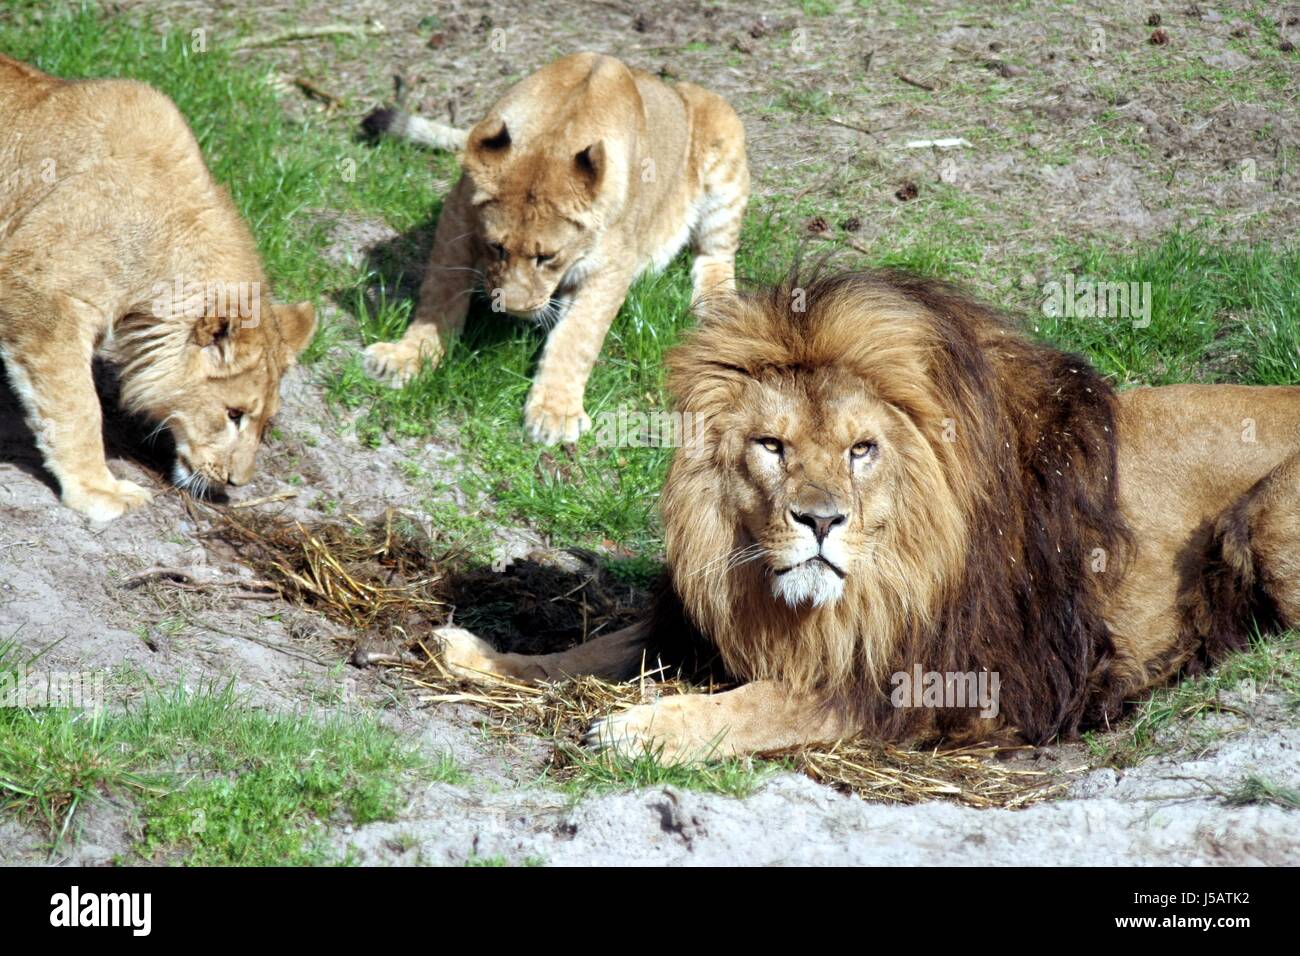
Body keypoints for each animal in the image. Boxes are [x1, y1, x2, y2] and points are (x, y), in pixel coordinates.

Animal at [0, 55, 316, 521]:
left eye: (264, 422)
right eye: (233, 413)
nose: (237, 483)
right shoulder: (38, 288)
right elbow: (78, 404)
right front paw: (98, 490)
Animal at [360, 52, 749, 445]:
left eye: (547, 257)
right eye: (496, 248)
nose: (512, 309)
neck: (557, 132)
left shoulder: (613, 264)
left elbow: (577, 337)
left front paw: (554, 413)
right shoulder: (458, 214)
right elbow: (439, 297)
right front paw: (406, 357)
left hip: (724, 140)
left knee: (716, 253)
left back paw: (718, 305)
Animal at [433, 271, 1300, 761]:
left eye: (861, 449)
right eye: (773, 445)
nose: (819, 521)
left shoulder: (925, 679)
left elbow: (762, 704)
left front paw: (646, 729)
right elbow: (594, 648)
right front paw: (480, 654)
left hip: (1262, 517)